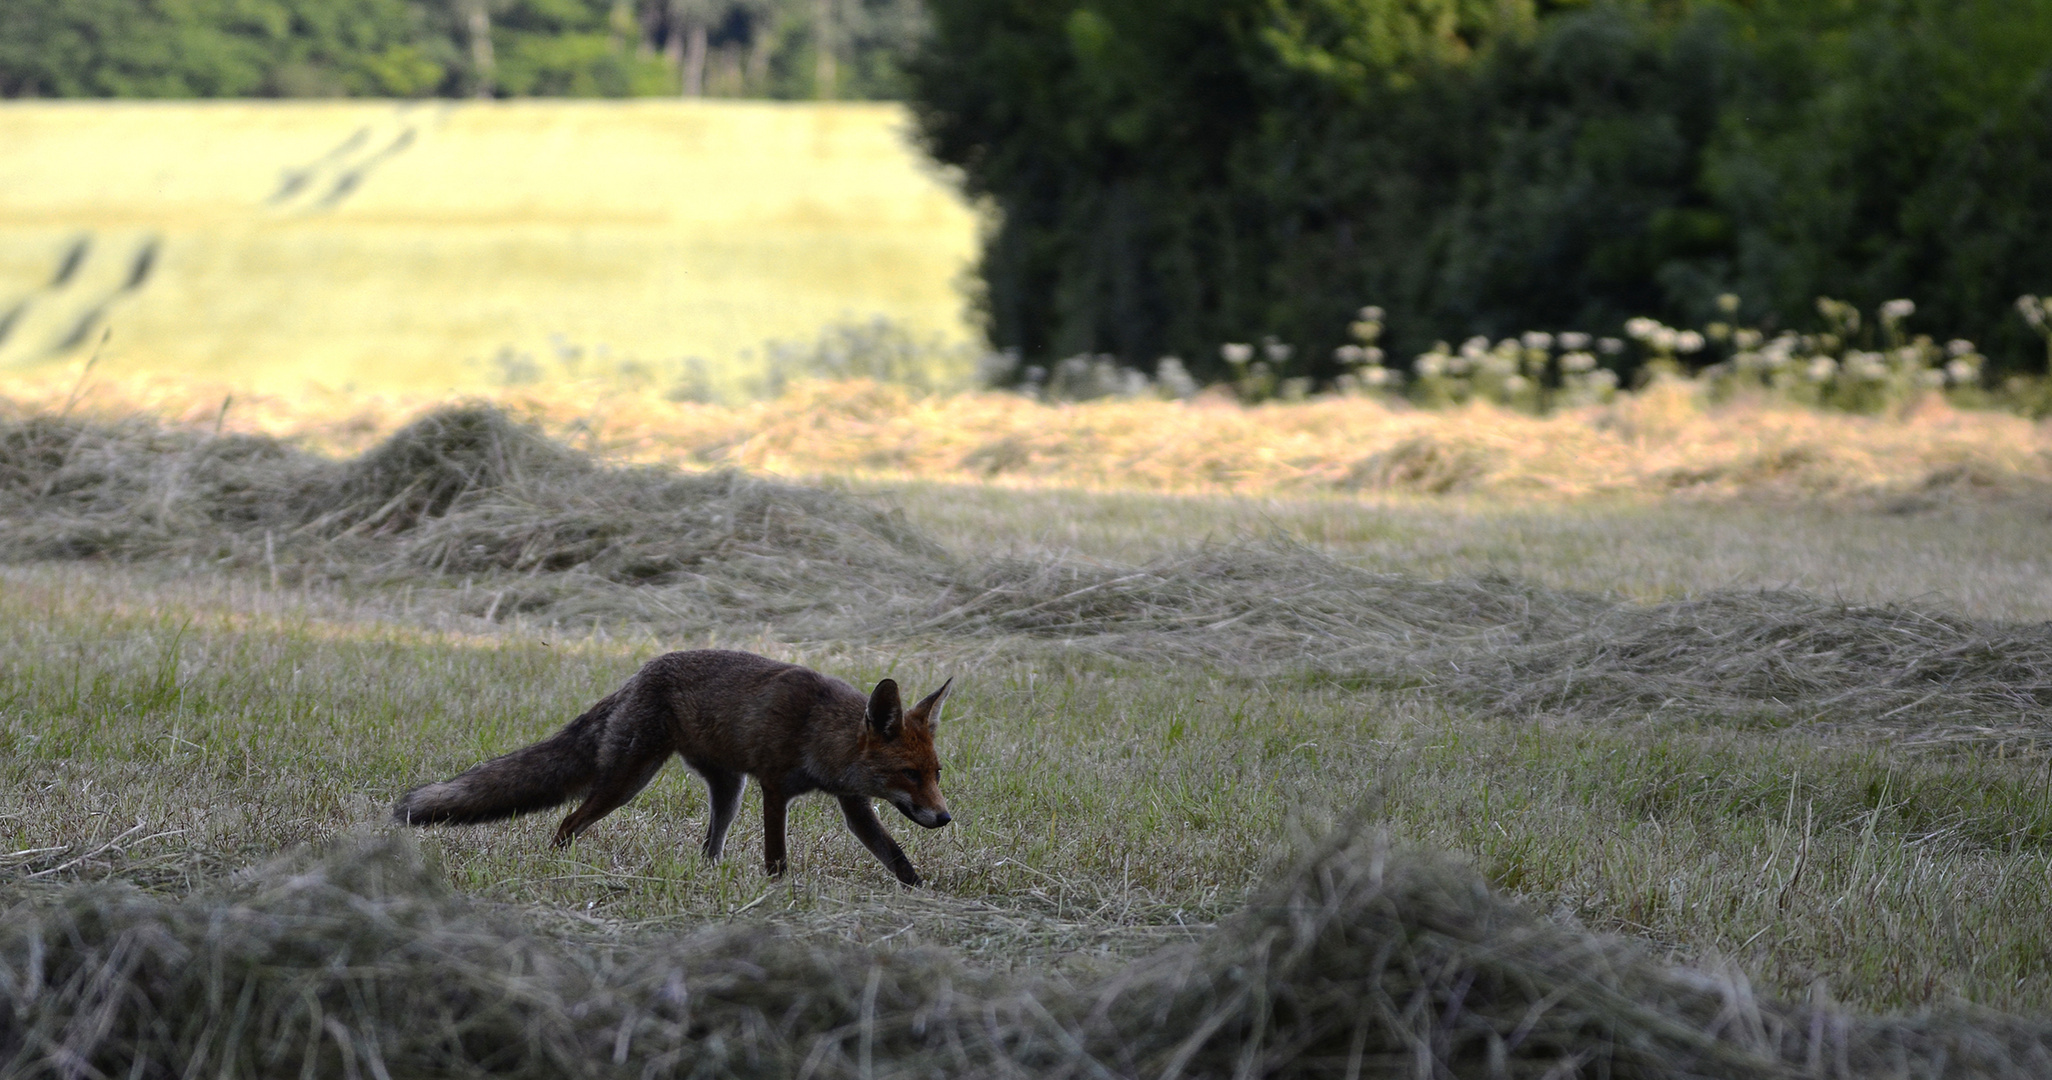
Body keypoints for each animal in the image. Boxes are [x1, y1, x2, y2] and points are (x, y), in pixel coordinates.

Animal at [391, 652, 952, 891]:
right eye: (909, 773)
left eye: (936, 773)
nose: (946, 819)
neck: (820, 731)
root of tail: (639, 672)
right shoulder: (774, 788)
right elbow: (776, 857)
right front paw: (778, 893)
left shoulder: (853, 801)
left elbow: (893, 853)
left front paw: (921, 891)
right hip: (628, 780)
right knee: (568, 822)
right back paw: (557, 868)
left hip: (728, 789)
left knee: (708, 848)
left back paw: (707, 876)